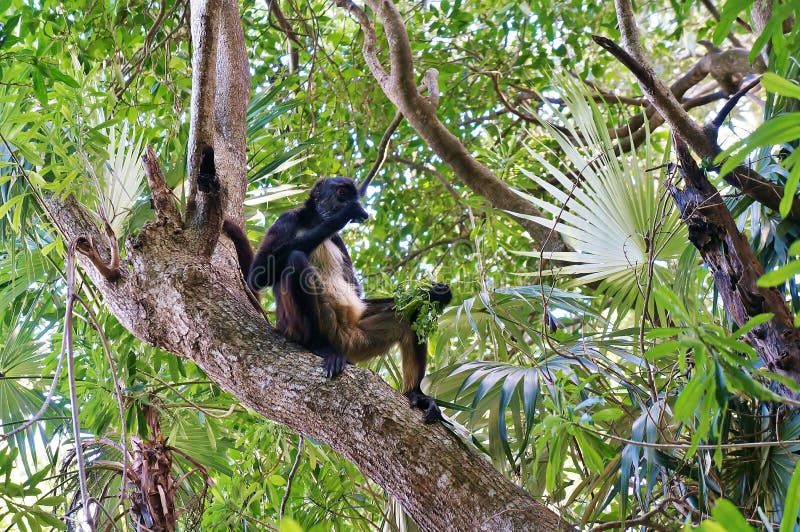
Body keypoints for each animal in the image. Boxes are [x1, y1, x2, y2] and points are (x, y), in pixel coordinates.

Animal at [222, 177, 451, 423]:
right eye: (342, 193)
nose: (350, 206)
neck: (313, 221)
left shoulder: (338, 239)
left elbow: (359, 294)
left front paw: (431, 293)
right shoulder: (287, 218)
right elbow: (258, 275)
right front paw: (345, 215)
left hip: (357, 337)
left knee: (411, 315)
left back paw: (415, 394)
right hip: (300, 325)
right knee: (295, 260)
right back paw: (318, 345)